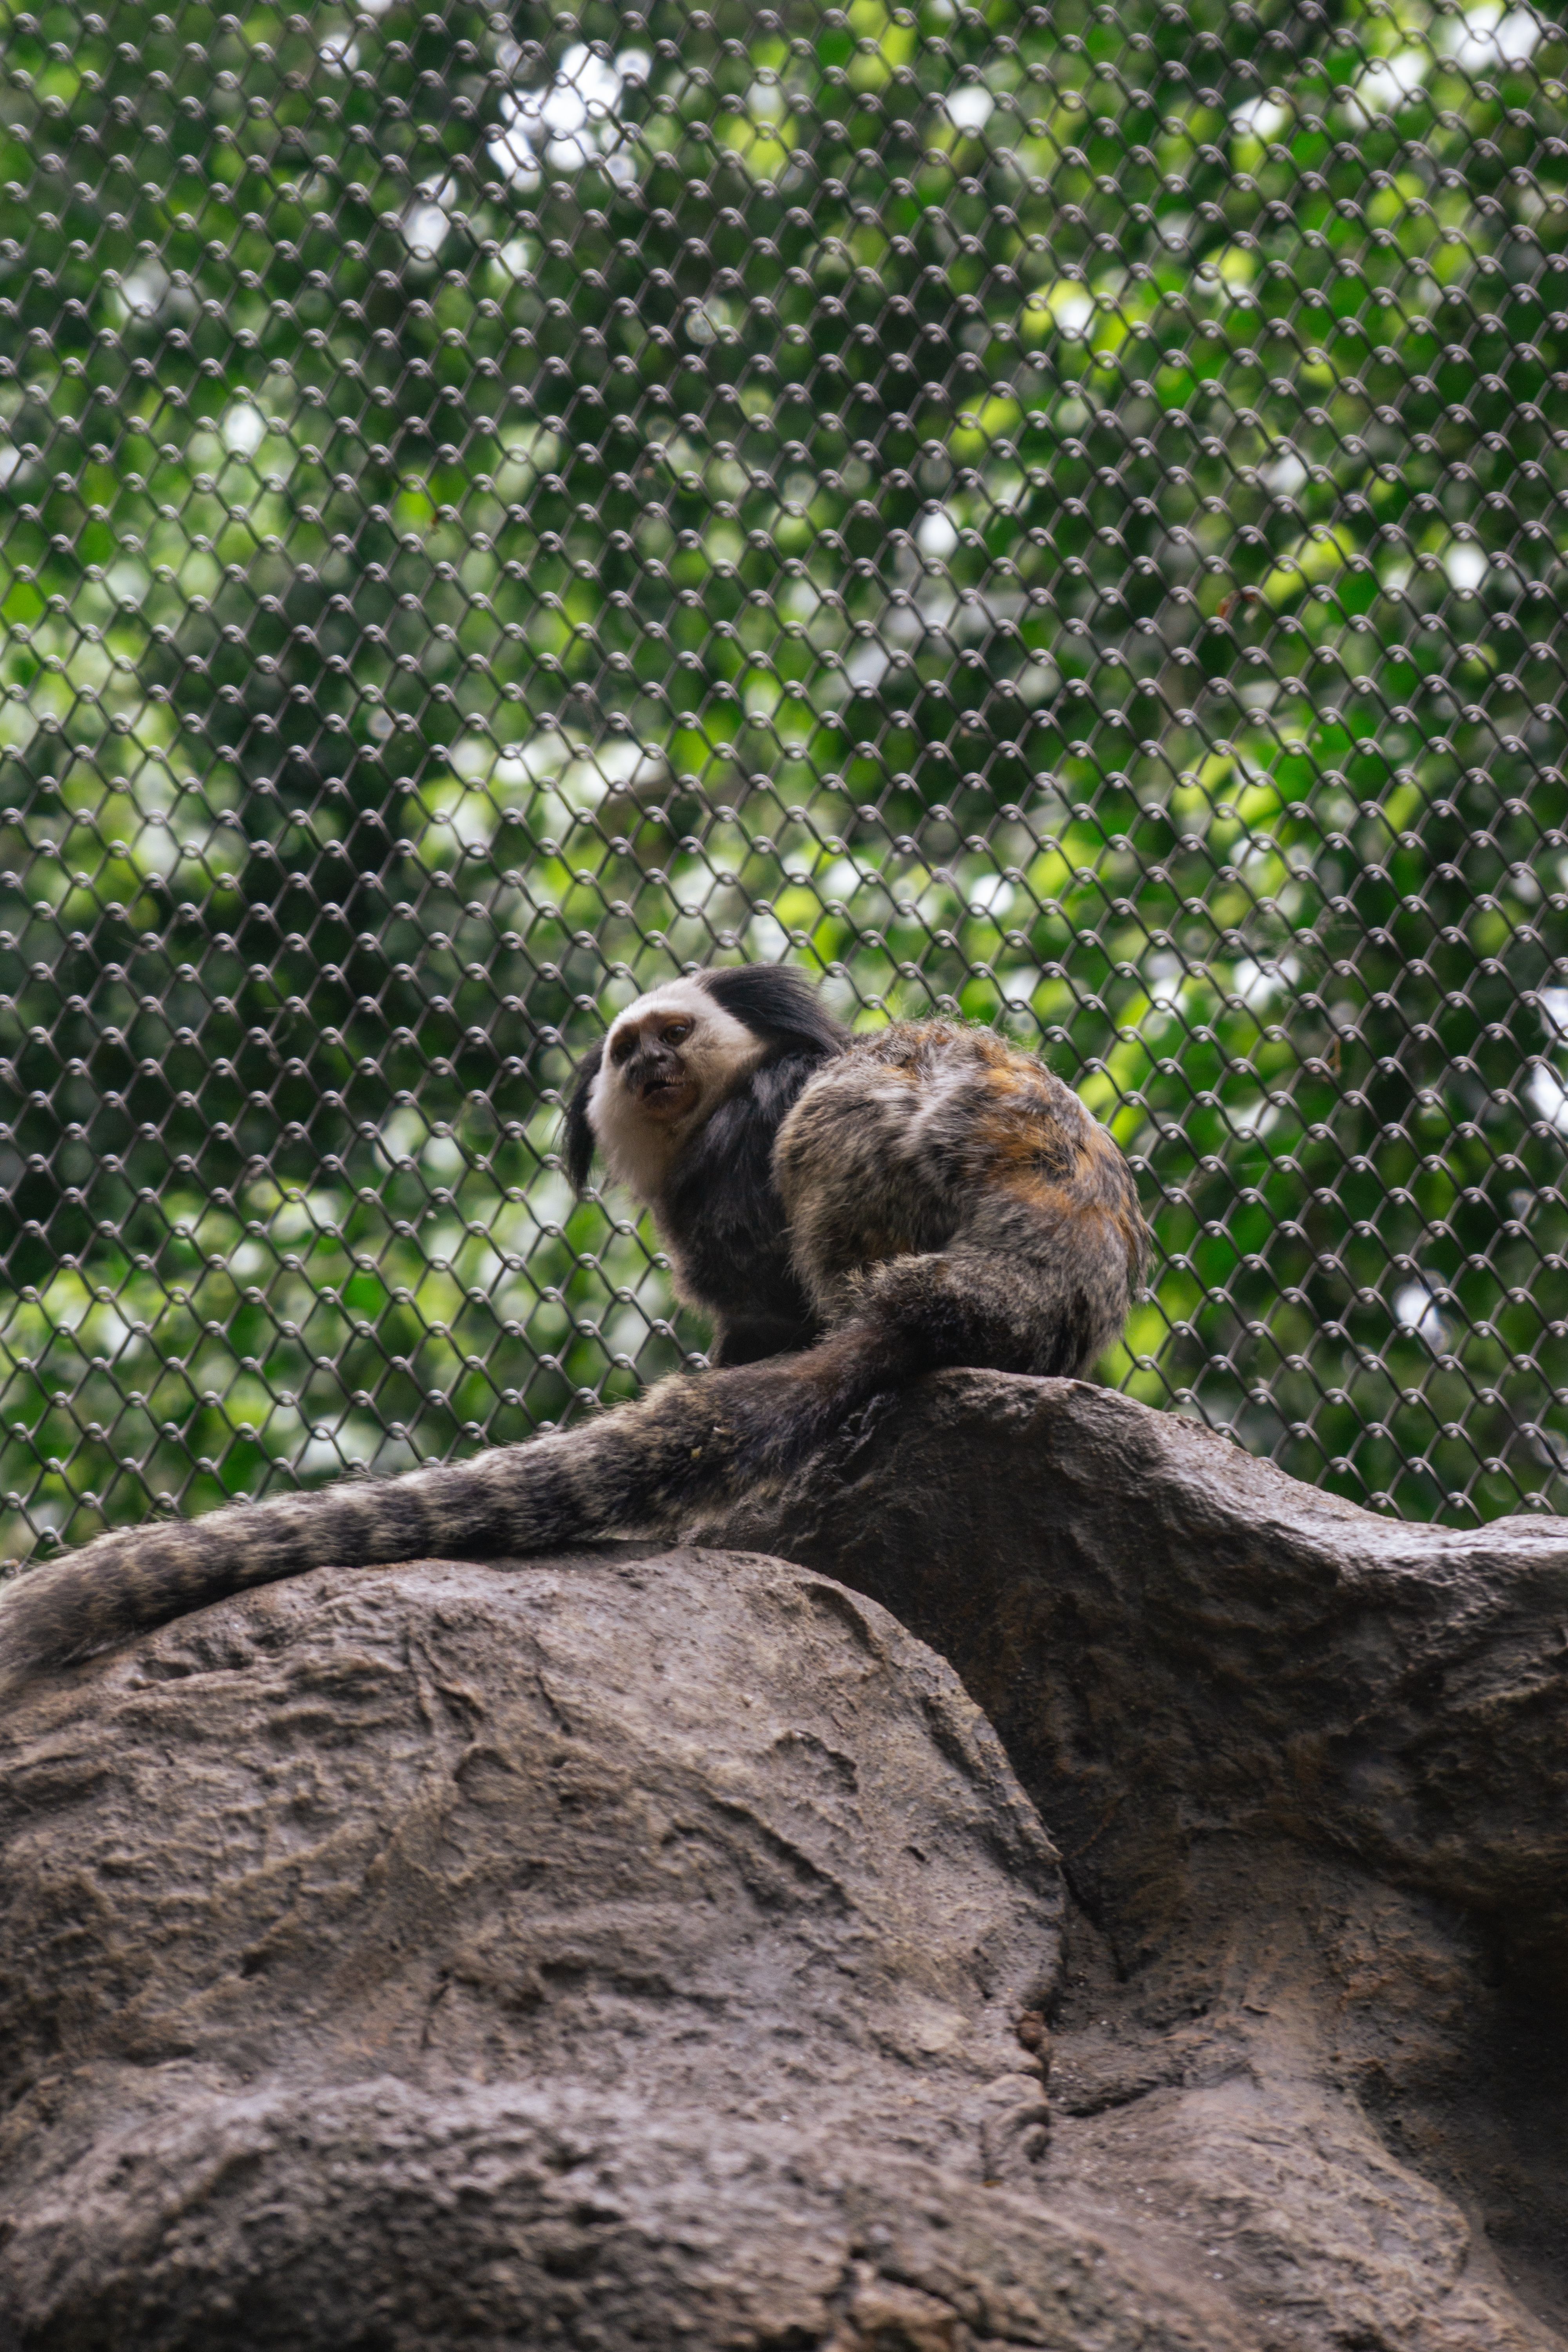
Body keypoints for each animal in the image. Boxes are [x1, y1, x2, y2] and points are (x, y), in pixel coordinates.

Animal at [0, 965, 1148, 1695]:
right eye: (625, 1048)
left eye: (674, 1034)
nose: (646, 1069)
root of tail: (1024, 1283)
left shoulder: (748, 1129)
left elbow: (760, 1285)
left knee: (841, 1121)